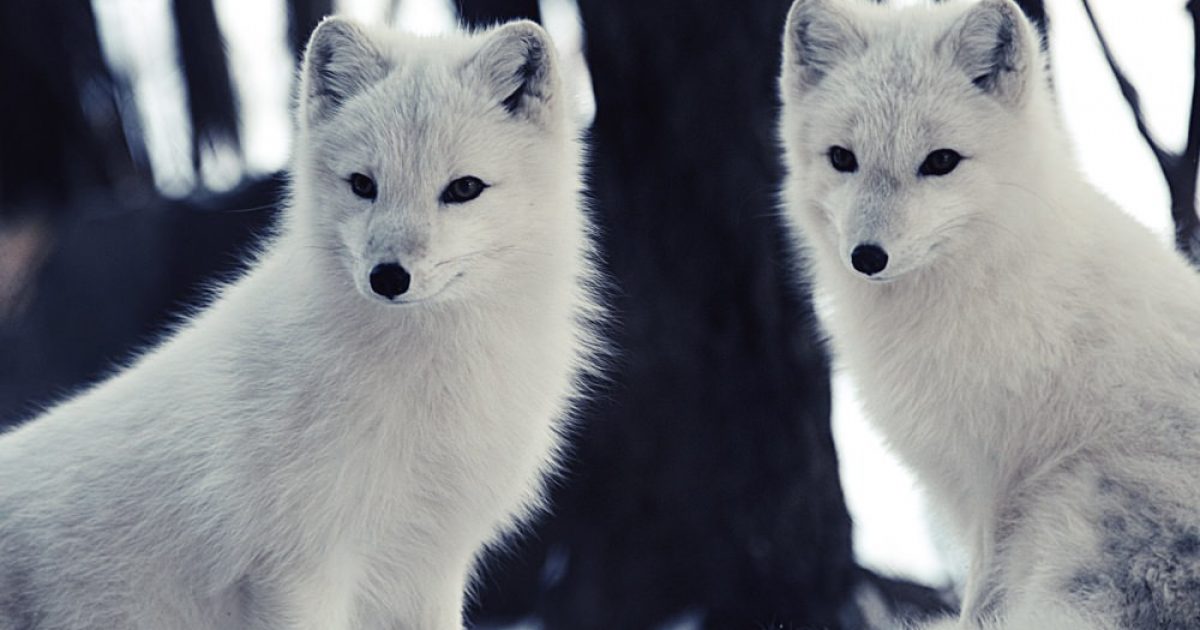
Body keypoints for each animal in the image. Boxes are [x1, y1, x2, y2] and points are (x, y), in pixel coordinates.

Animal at [0, 17, 600, 630]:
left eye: (464, 189)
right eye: (362, 185)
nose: (388, 277)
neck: (427, 381)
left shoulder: (431, 568)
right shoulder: (299, 568)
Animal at [778, 0, 1200, 628]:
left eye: (941, 162)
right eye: (842, 159)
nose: (867, 257)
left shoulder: (998, 472)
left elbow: (982, 589)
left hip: (1073, 497)